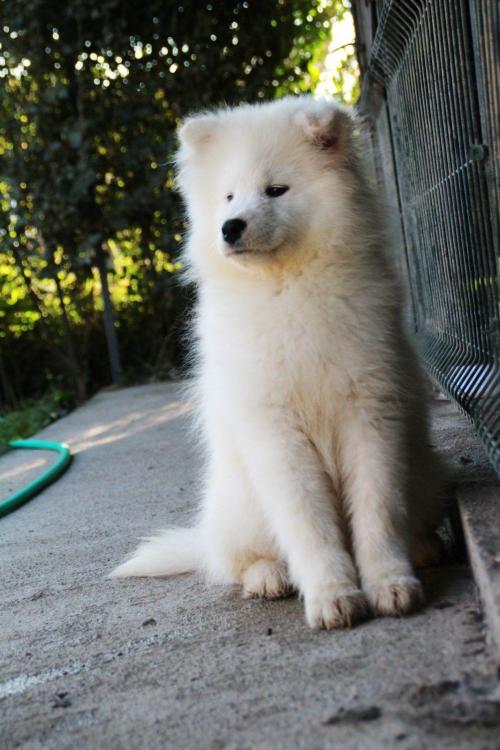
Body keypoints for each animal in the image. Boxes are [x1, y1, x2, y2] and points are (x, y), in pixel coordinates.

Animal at [111, 97, 444, 632]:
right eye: (228, 196)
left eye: (275, 189)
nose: (230, 227)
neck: (287, 287)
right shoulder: (275, 431)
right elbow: (308, 523)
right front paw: (333, 596)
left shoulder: (370, 413)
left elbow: (378, 510)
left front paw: (391, 585)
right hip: (242, 504)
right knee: (238, 559)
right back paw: (268, 577)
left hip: (427, 474)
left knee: (413, 513)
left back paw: (424, 547)